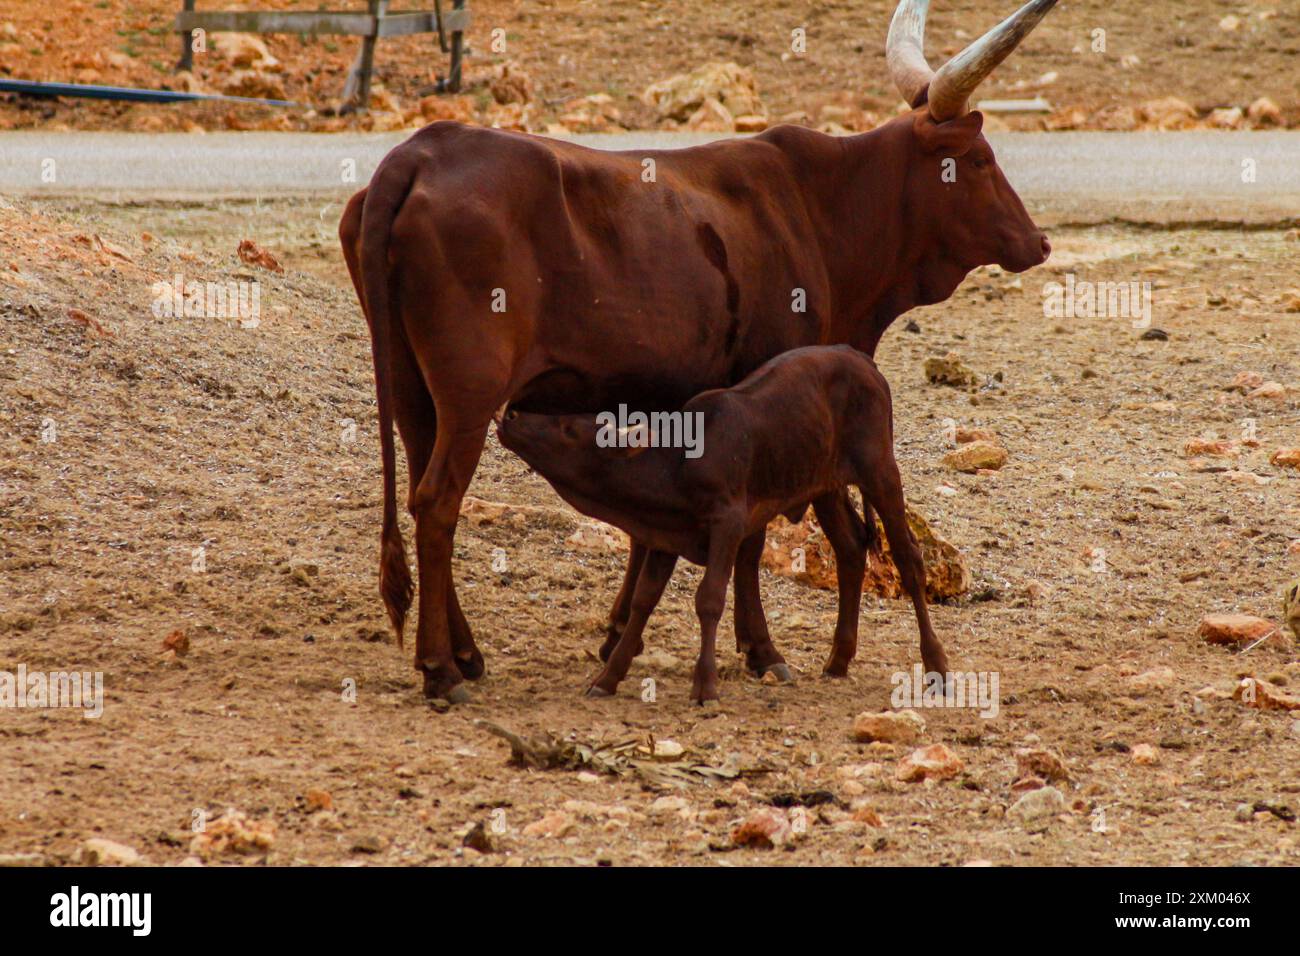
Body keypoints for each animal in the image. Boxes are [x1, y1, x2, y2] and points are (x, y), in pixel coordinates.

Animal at [497, 345, 940, 704]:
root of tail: (861, 359)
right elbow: (644, 599)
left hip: (880, 471)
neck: (676, 462)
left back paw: (935, 661)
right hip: (825, 485)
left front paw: (705, 685)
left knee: (908, 559)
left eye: (569, 428)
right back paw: (838, 658)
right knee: (850, 548)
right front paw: (608, 677)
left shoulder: (728, 523)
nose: (512, 413)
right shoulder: (667, 534)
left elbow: (709, 598)